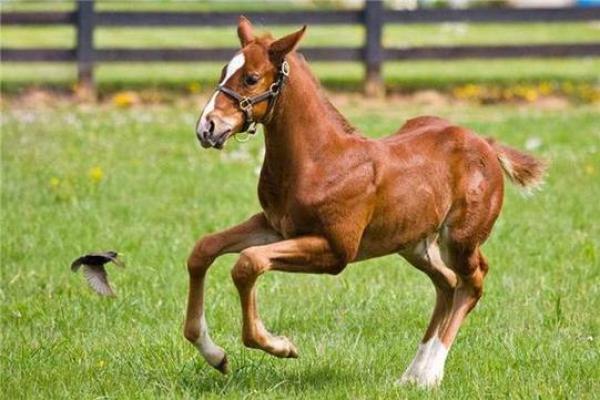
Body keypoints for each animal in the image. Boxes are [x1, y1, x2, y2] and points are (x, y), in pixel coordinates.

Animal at [185, 18, 548, 388]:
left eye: (251, 78)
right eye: (223, 71)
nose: (207, 128)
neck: (320, 159)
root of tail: (485, 143)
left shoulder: (337, 250)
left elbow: (248, 263)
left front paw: (280, 345)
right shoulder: (274, 226)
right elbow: (204, 249)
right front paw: (213, 354)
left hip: (459, 240)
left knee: (472, 283)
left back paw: (430, 373)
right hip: (416, 244)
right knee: (447, 283)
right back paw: (411, 375)